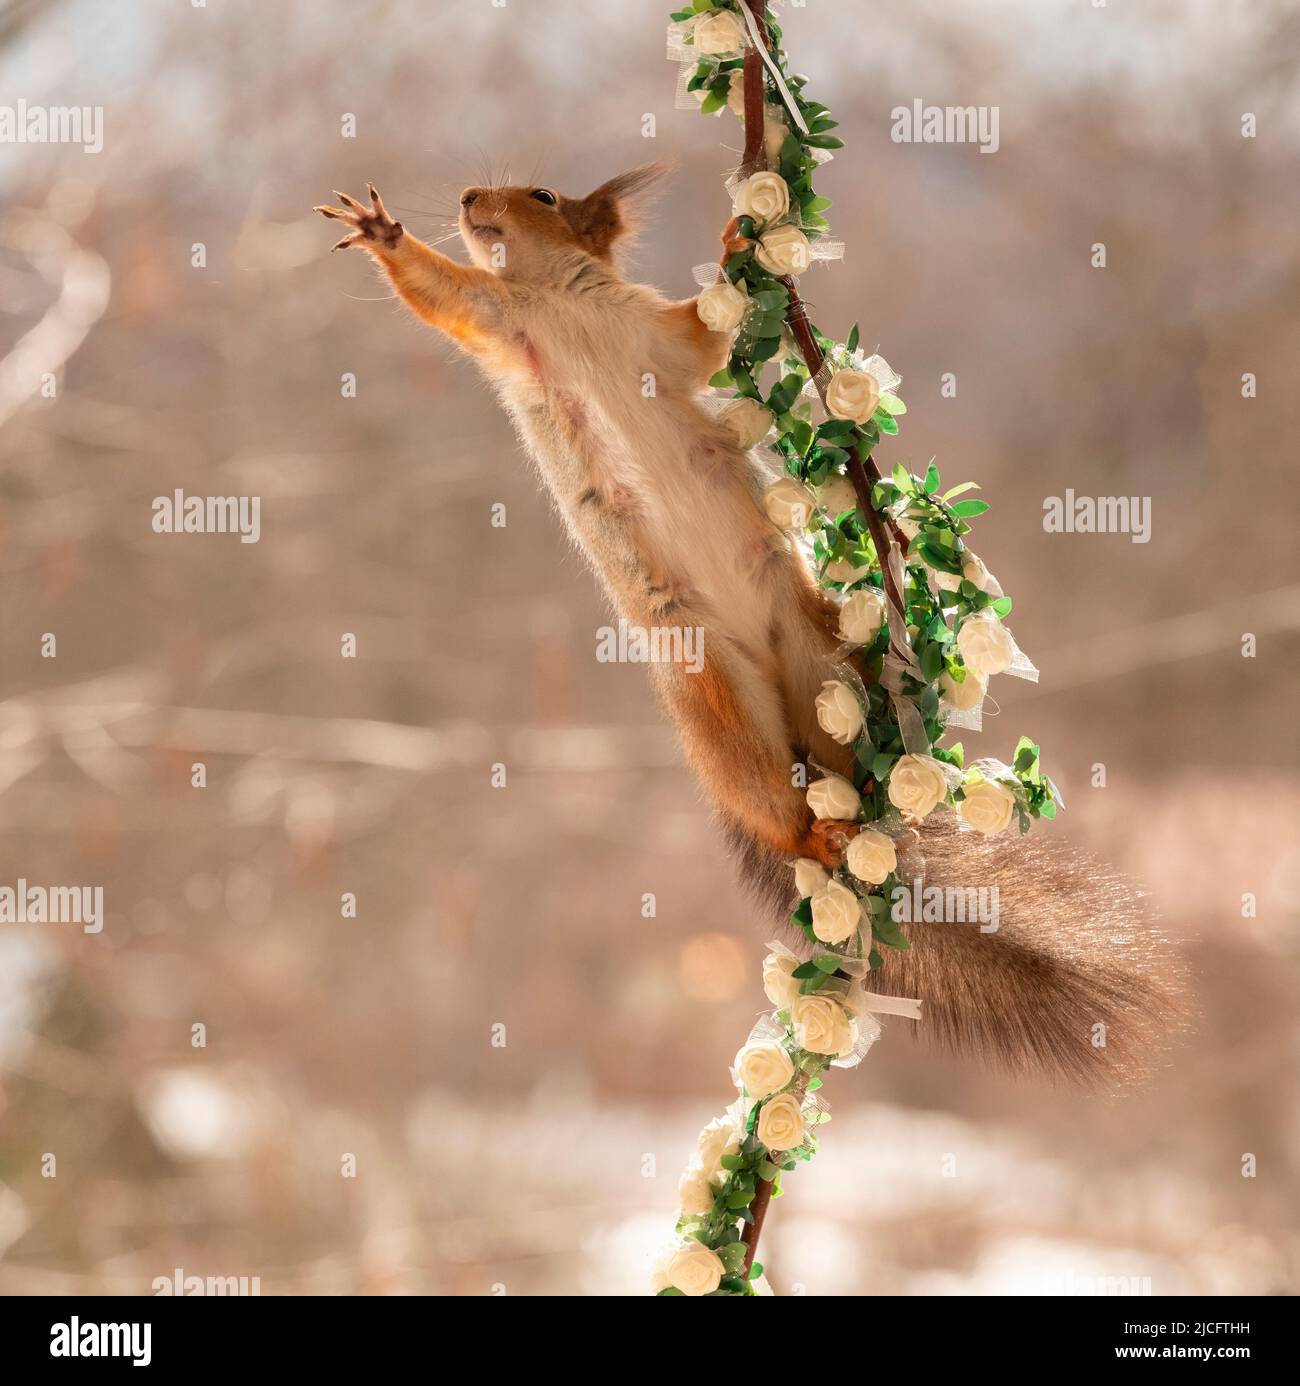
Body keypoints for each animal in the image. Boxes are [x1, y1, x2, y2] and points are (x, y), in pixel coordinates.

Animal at [316, 169, 1183, 1084]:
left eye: (545, 196)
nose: (469, 197)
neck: (554, 298)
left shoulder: (649, 334)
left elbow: (702, 337)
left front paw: (743, 240)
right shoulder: (497, 323)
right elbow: (438, 291)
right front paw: (381, 231)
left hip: (820, 667)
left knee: (847, 771)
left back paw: (870, 805)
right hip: (717, 698)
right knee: (774, 802)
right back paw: (820, 827)